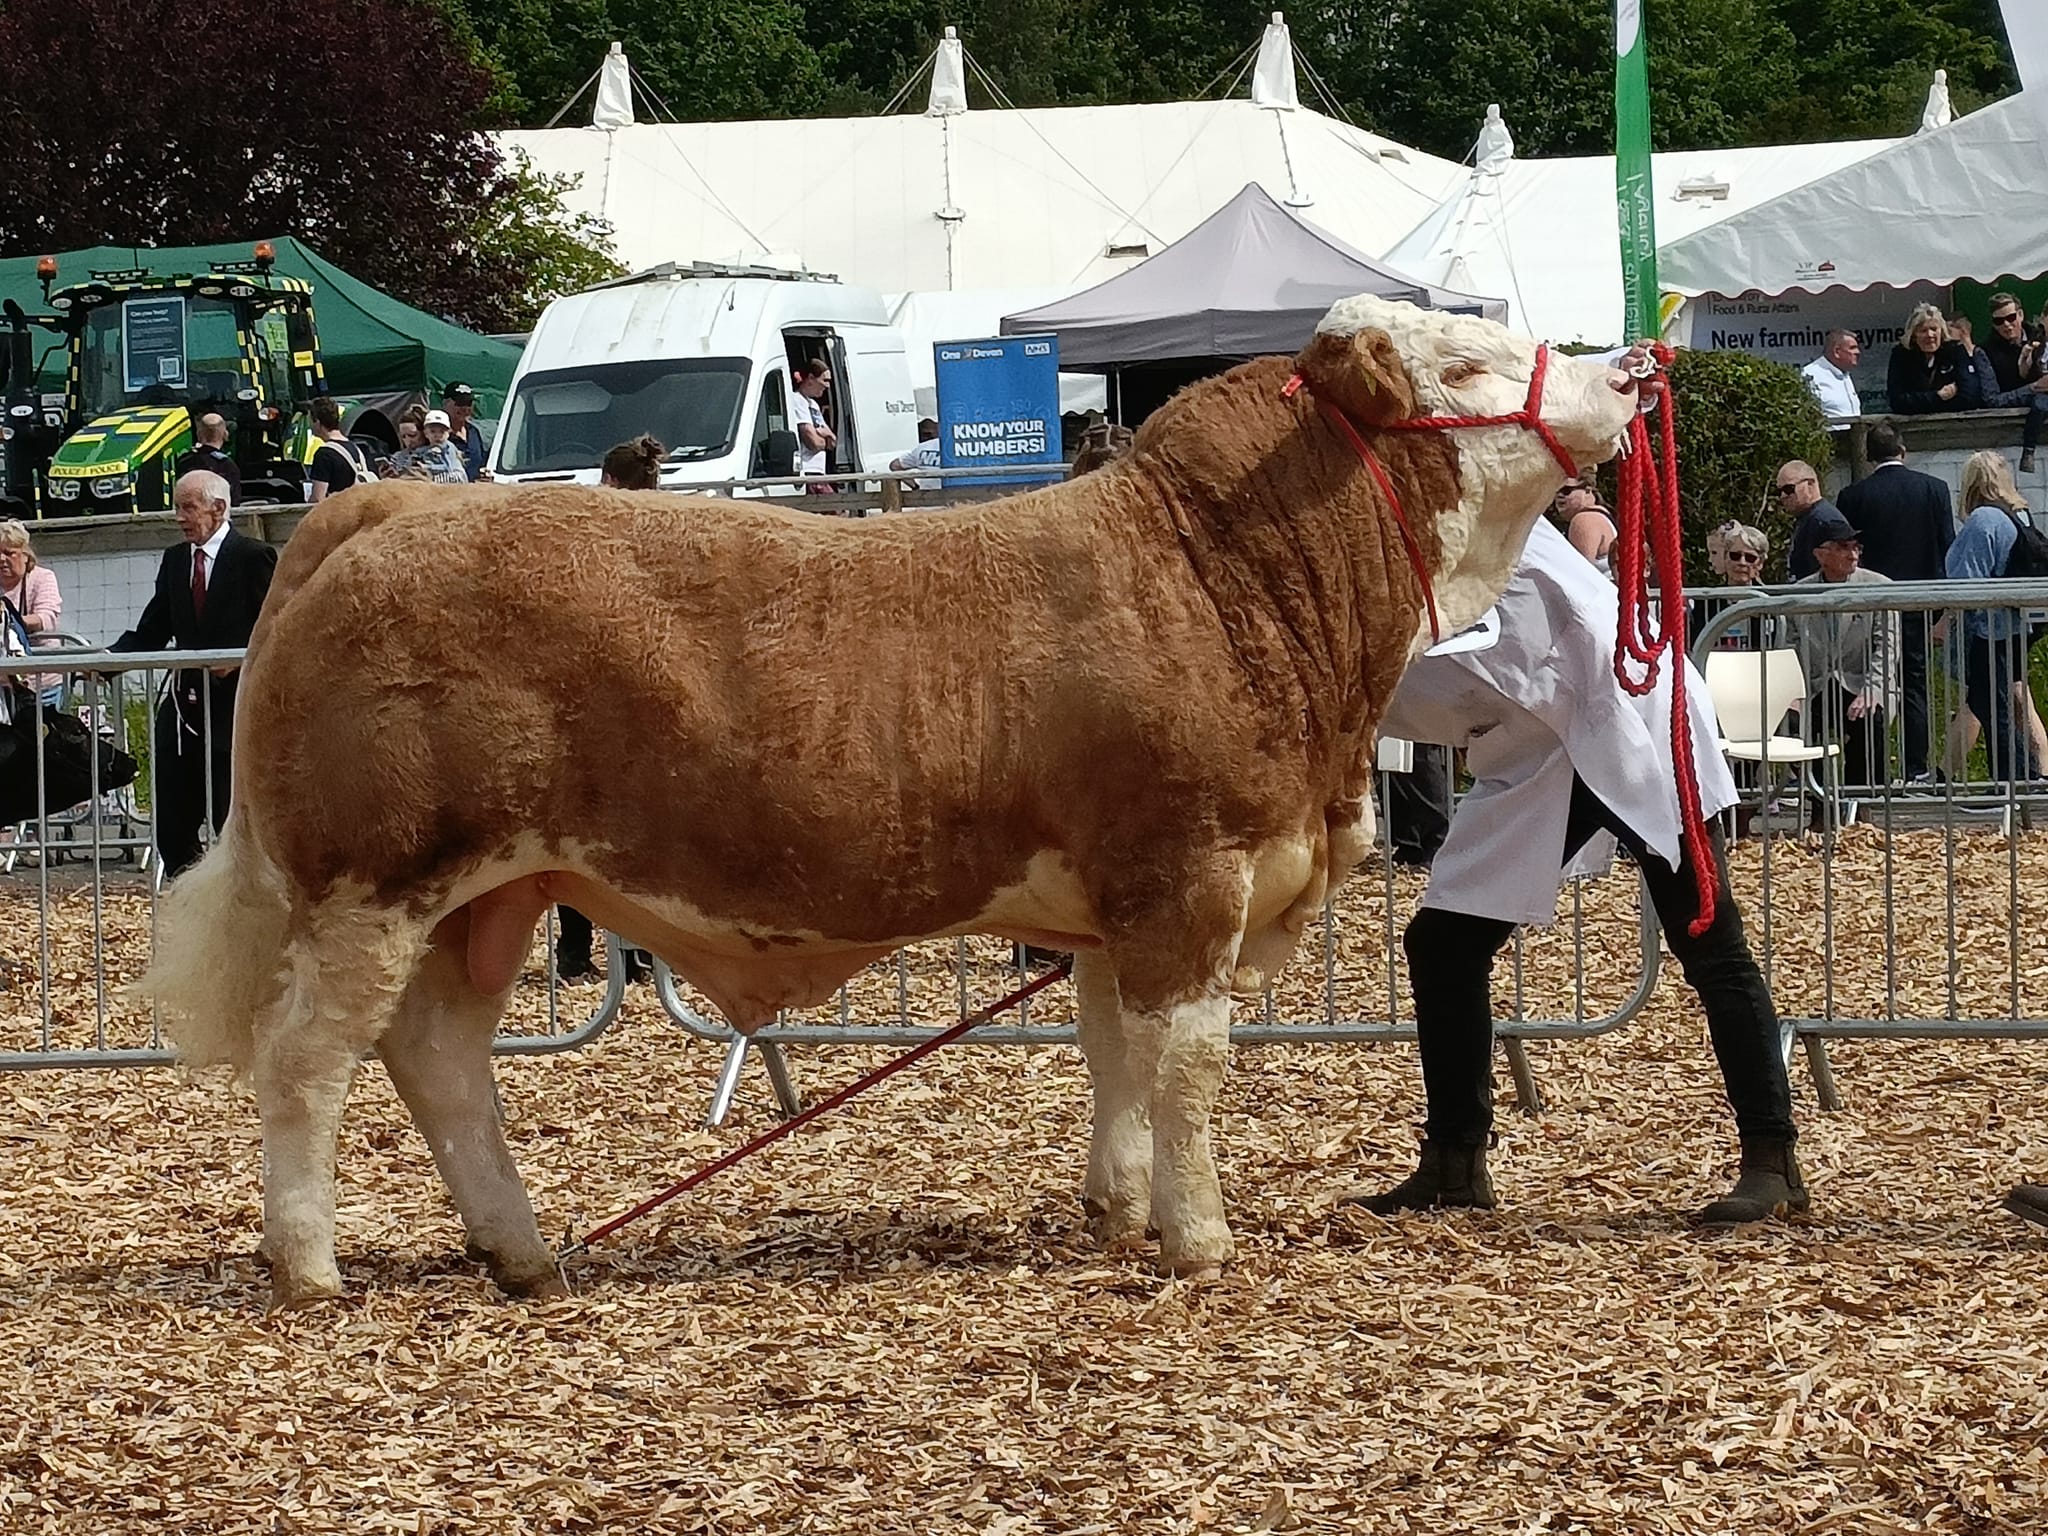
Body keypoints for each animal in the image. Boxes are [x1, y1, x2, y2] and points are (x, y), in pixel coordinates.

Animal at [138, 297, 1645, 1308]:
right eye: (1463, 359)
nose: (1631, 365)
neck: (1221, 574)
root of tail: (385, 511)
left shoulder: (1116, 905)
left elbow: (1114, 1059)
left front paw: (1116, 1211)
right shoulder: (1187, 878)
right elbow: (1187, 1065)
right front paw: (1200, 1239)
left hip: (490, 896)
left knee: (439, 1055)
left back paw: (520, 1251)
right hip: (373, 883)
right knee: (307, 1061)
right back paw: (309, 1263)